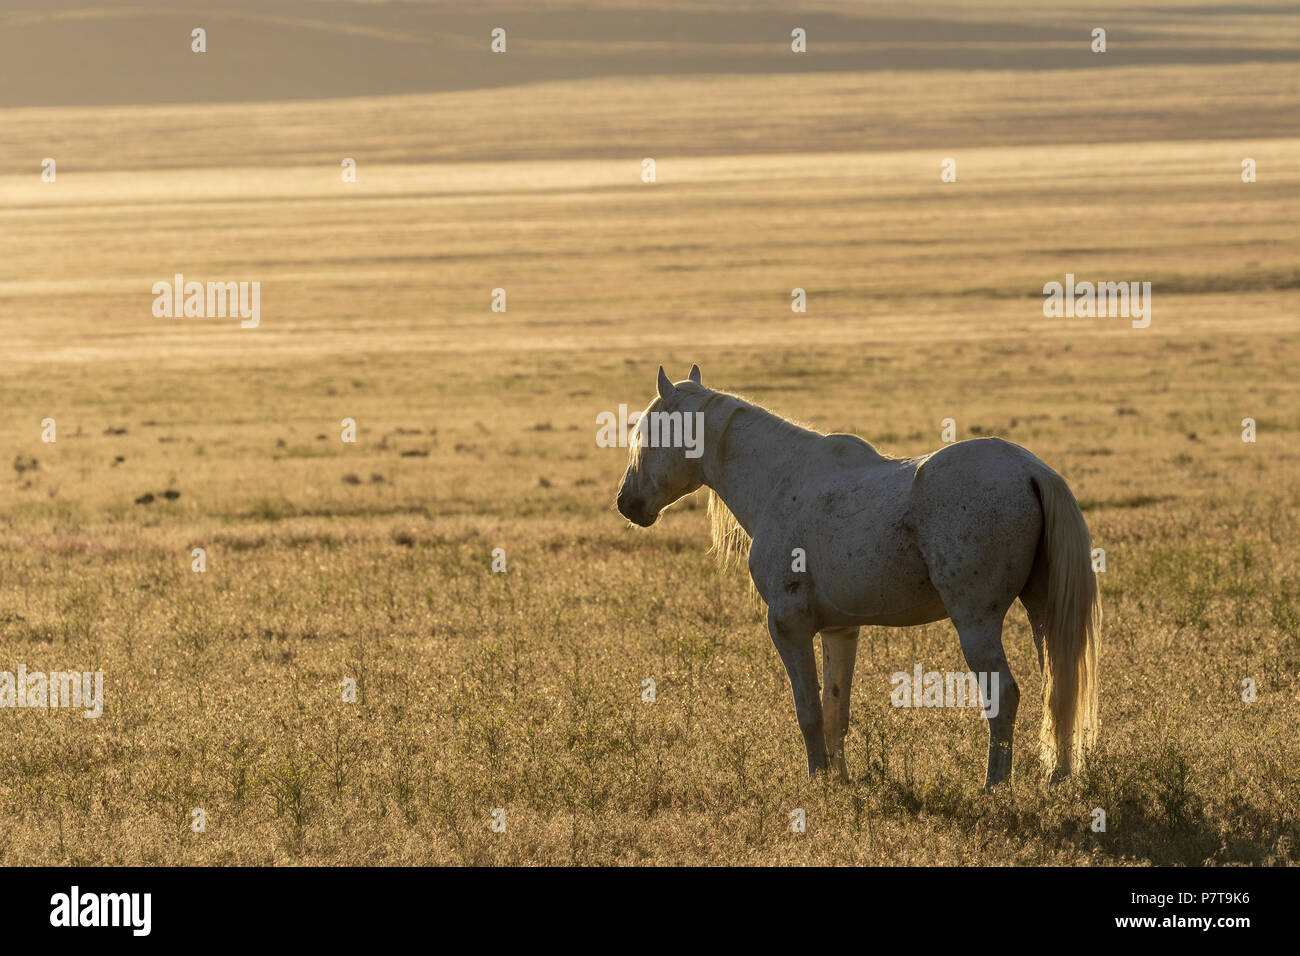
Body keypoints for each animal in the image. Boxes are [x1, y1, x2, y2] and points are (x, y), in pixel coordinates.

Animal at [615, 365, 1100, 789]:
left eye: (648, 433)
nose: (626, 502)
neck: (779, 482)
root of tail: (1031, 470)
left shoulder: (787, 625)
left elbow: (808, 709)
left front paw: (817, 781)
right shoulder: (840, 630)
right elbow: (835, 710)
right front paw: (841, 781)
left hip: (976, 623)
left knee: (1005, 696)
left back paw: (995, 785)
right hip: (1041, 614)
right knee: (1059, 686)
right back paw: (1057, 778)